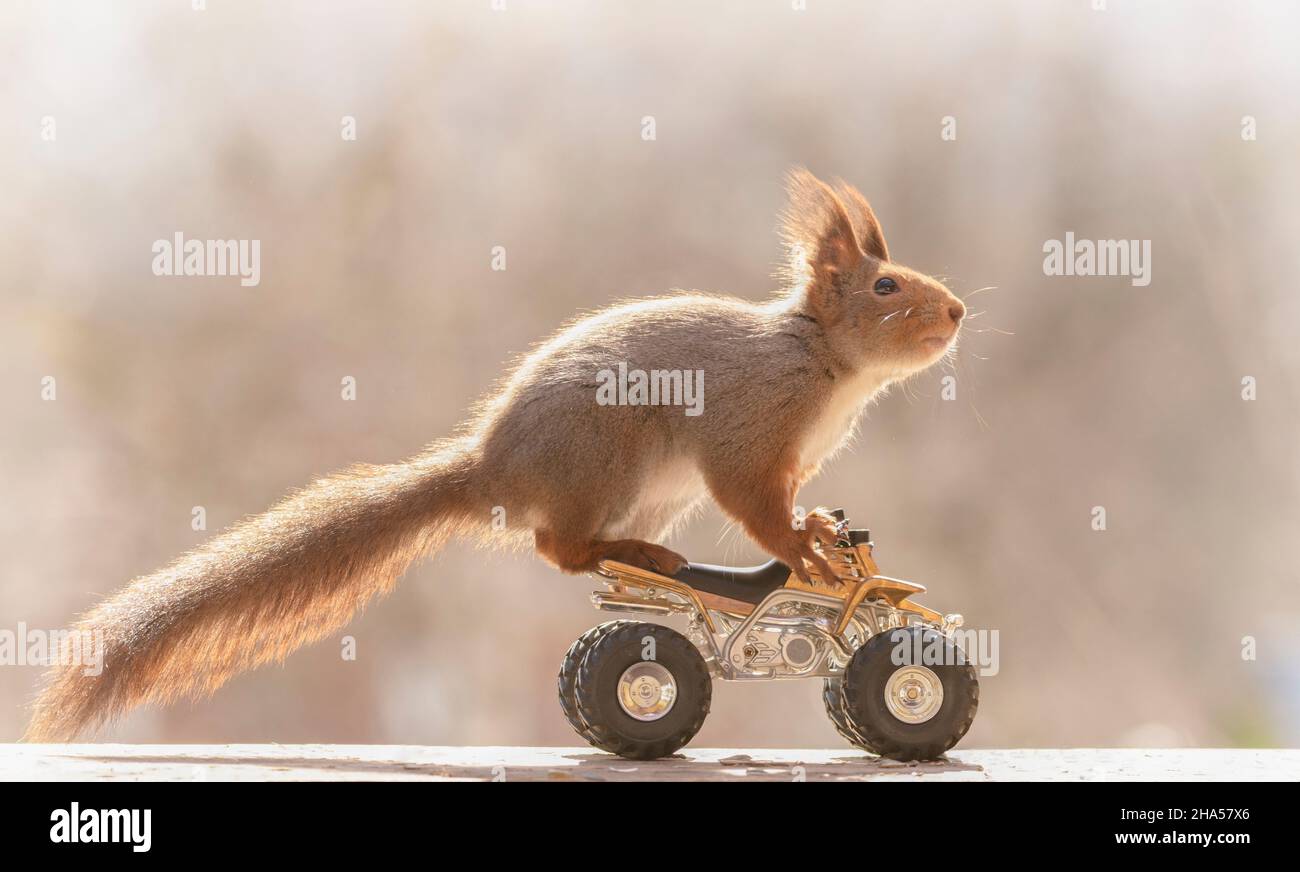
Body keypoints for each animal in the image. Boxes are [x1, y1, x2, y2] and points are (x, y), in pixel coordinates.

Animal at [25, 169, 965, 742]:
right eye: (885, 286)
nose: (957, 311)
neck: (828, 366)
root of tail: (496, 471)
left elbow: (793, 504)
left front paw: (820, 531)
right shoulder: (751, 427)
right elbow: (755, 505)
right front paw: (807, 553)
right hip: (609, 458)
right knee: (559, 547)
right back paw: (638, 555)